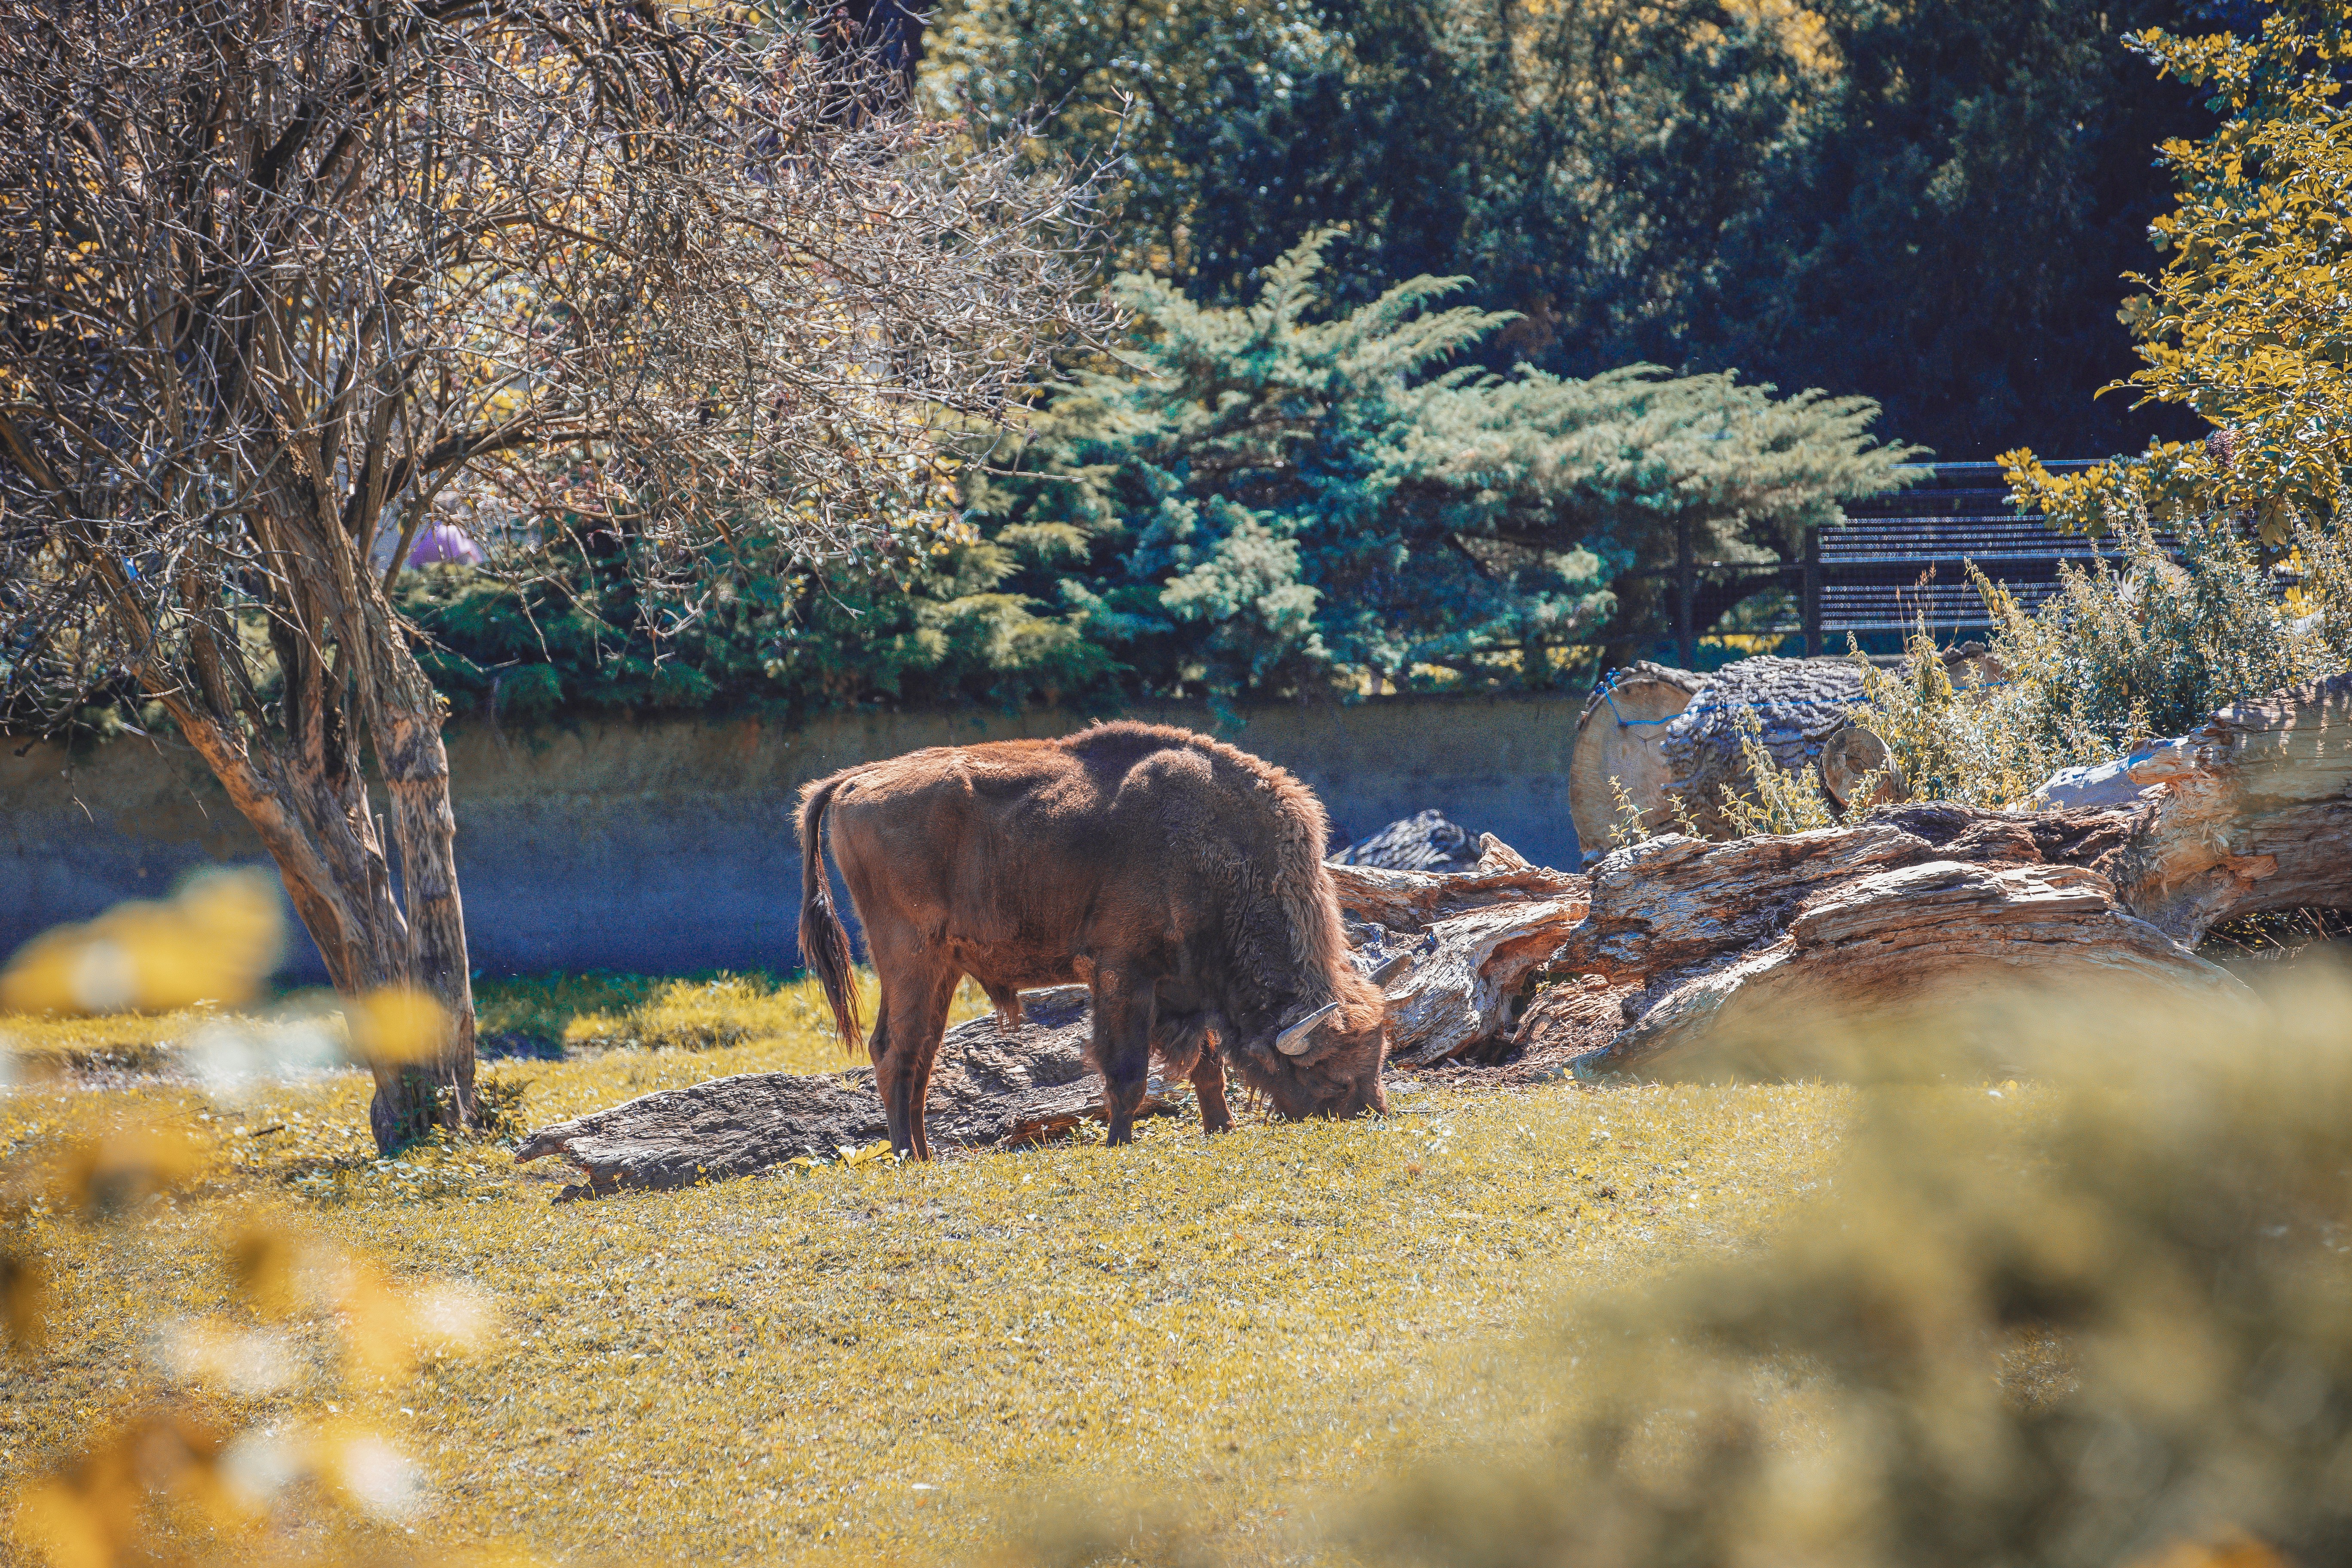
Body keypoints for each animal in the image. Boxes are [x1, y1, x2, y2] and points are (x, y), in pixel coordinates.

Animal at [796, 721, 1389, 1158]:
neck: (1220, 851)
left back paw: (922, 1154)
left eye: (1376, 1057)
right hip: (908, 958)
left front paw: (1221, 1128)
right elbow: (1126, 1069)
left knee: (920, 1054)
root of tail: (855, 780)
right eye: (1331, 1073)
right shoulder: (1123, 971)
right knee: (894, 1050)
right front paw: (1119, 1142)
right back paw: (907, 1158)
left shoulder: (1184, 986)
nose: (1373, 1112)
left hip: (942, 967)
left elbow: (1207, 1064)